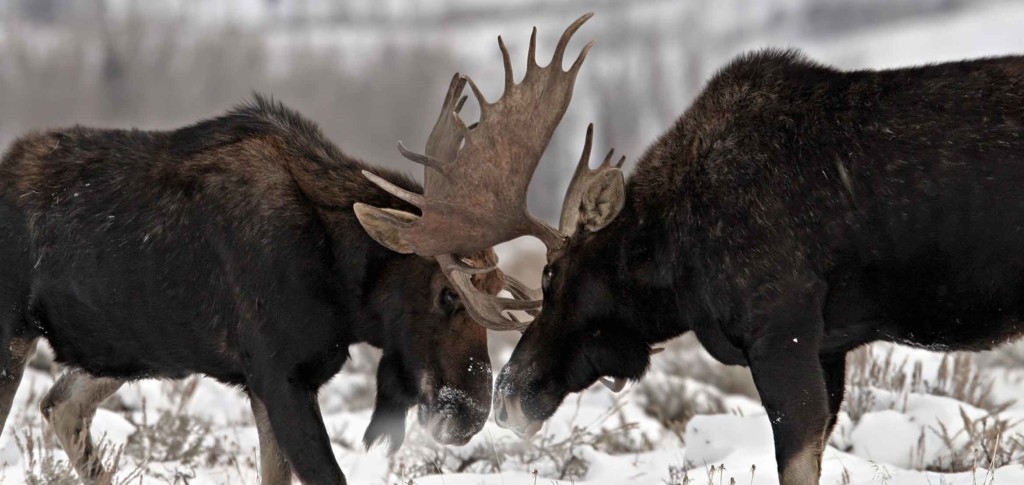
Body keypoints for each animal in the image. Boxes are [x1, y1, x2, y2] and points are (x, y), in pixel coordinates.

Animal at [0, 78, 538, 484]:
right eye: (448, 293)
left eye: (496, 288)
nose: (471, 411)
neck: (343, 288)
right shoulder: (280, 376)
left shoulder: (265, 384)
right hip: (17, 339)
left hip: (127, 349)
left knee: (60, 405)